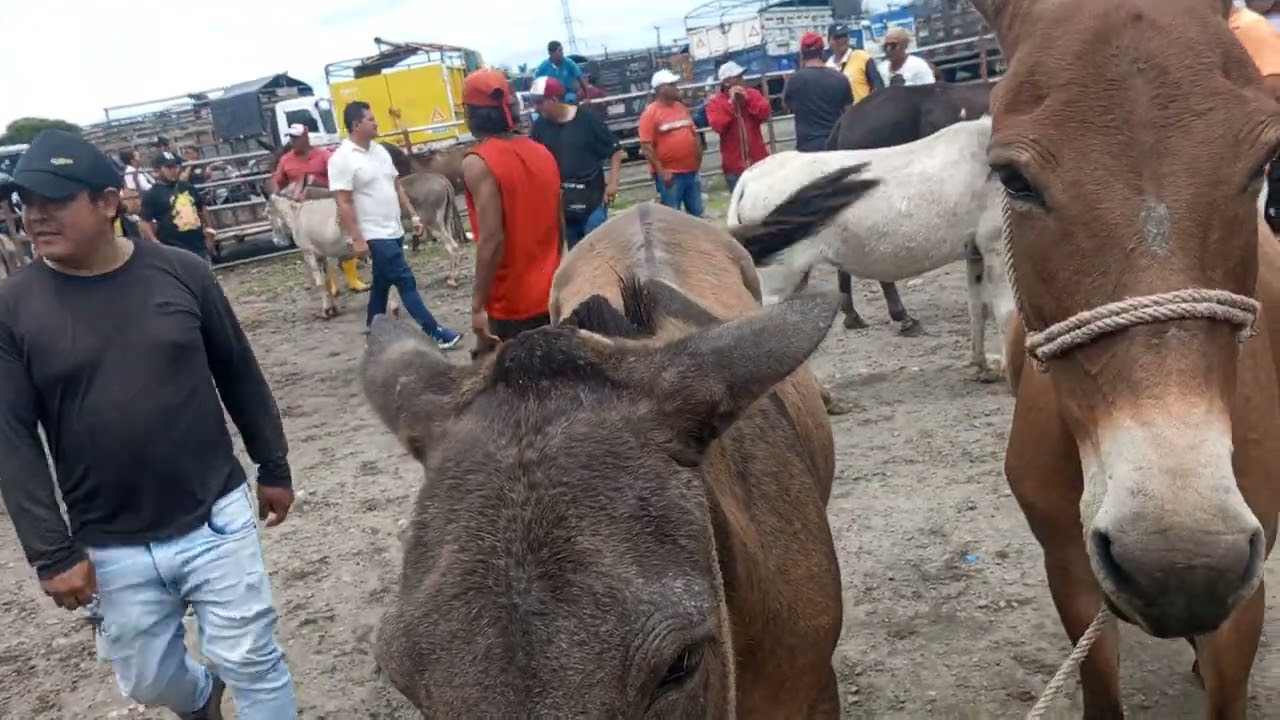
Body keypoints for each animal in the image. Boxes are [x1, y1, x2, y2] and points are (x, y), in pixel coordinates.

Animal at [729, 117, 1015, 382]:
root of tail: (749, 177)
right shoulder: (997, 246)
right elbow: (1005, 311)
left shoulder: (975, 252)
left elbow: (979, 309)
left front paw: (983, 367)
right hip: (780, 279)